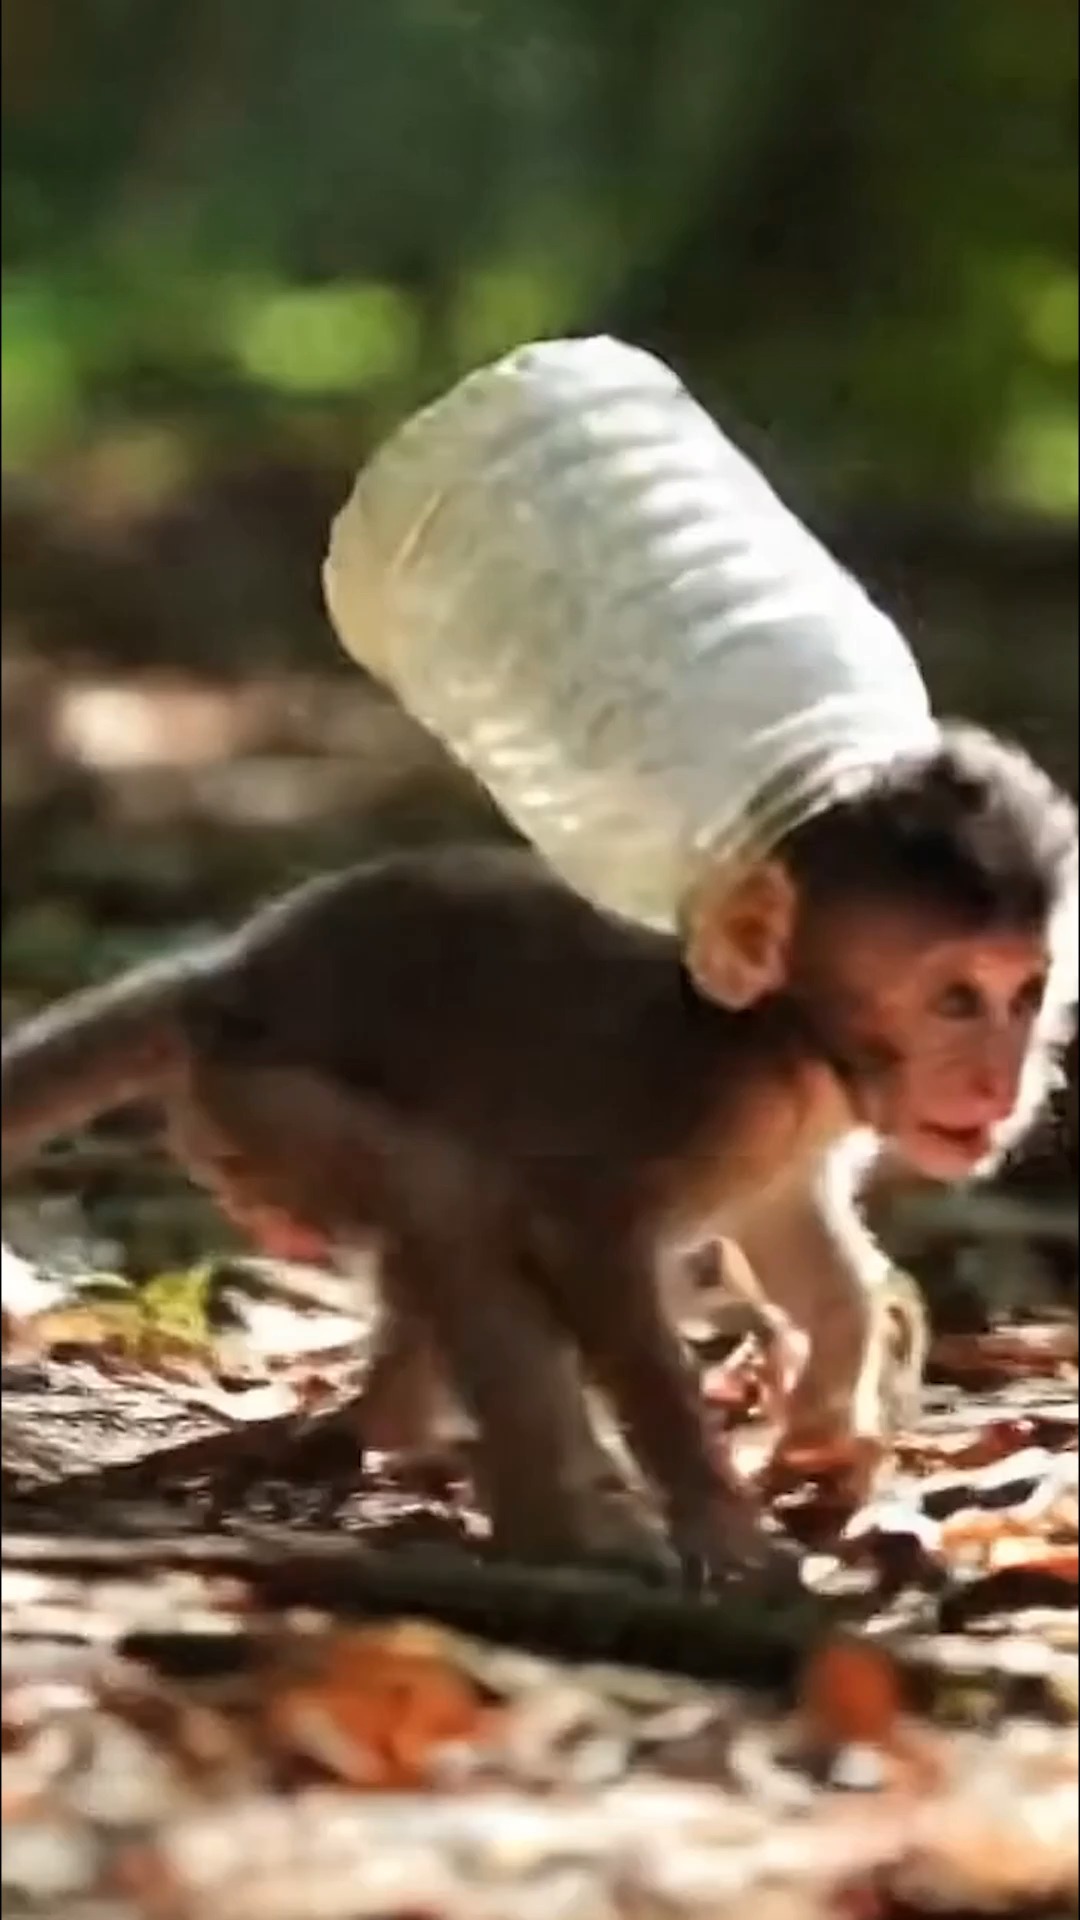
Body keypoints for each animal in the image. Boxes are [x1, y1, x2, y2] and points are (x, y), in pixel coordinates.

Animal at [2, 724, 1075, 1582]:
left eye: (1026, 994)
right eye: (957, 1000)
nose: (1000, 1079)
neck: (789, 1043)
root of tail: (221, 976)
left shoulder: (790, 1131)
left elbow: (791, 1229)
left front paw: (827, 1411)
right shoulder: (698, 1101)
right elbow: (584, 1243)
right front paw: (717, 1518)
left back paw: (392, 1432)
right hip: (263, 1102)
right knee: (450, 1205)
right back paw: (556, 1531)